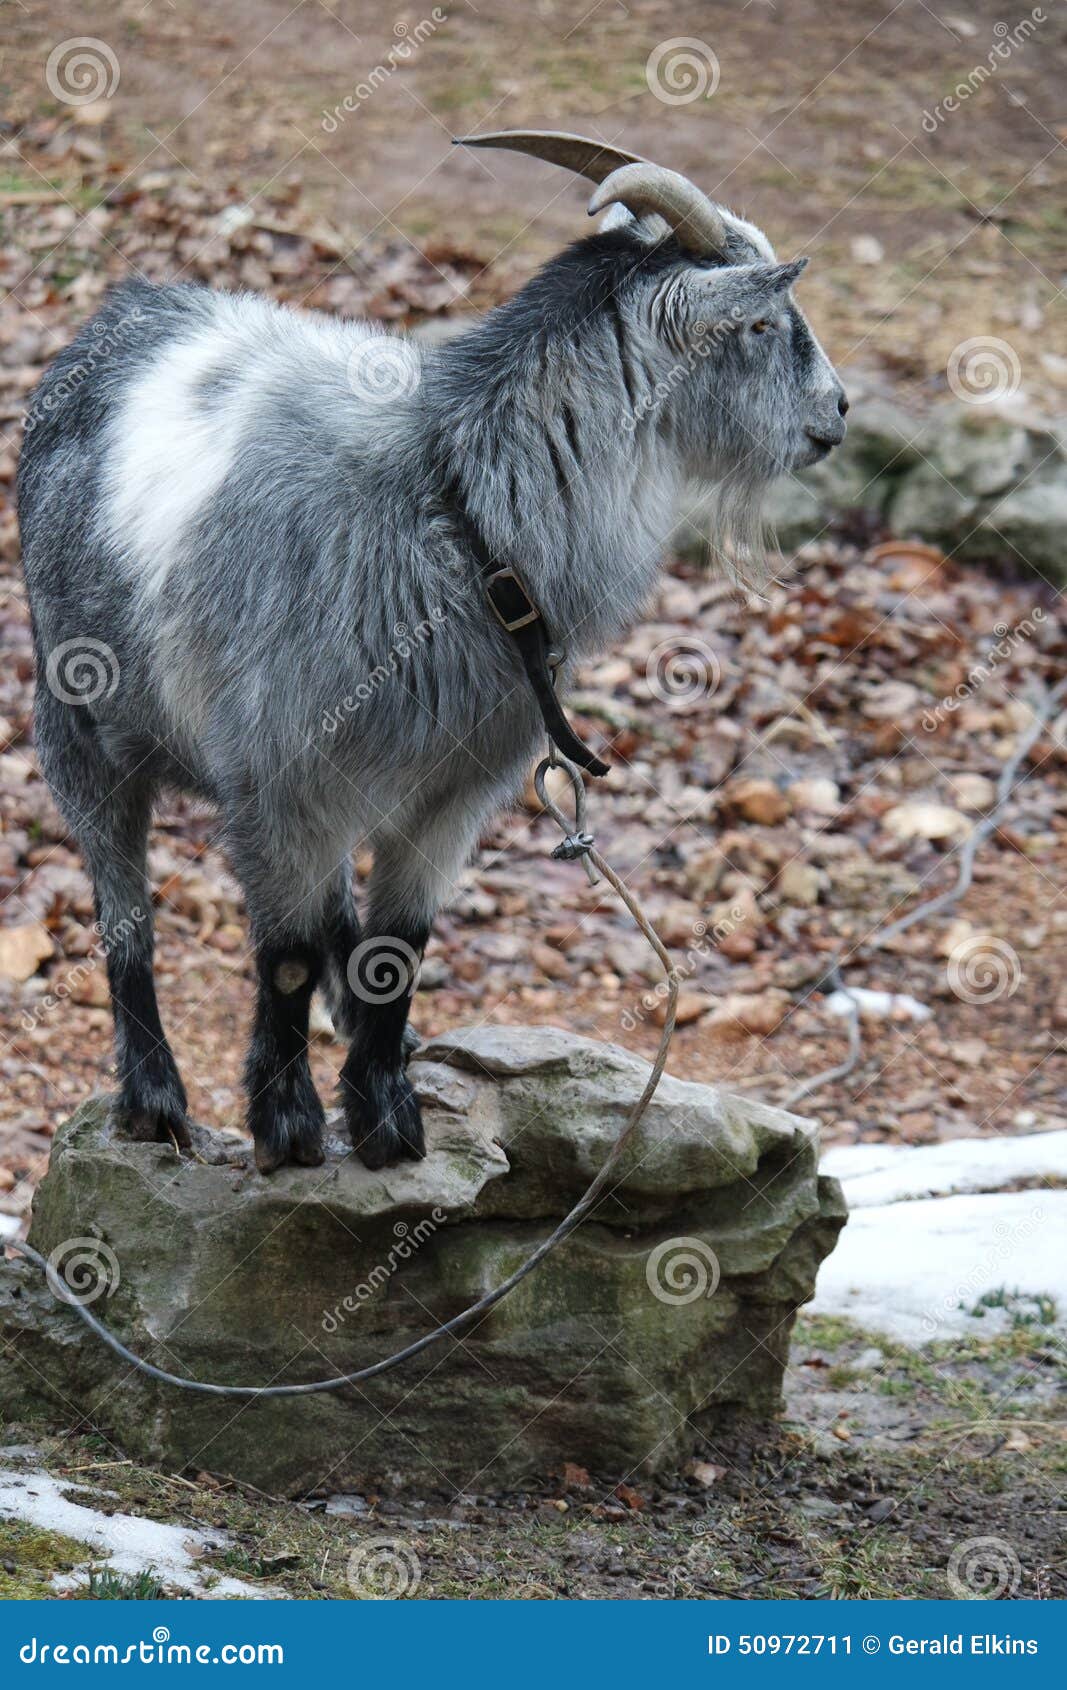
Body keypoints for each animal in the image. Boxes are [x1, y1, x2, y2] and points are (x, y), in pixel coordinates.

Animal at [17, 131, 848, 1173]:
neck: (452, 508)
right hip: (77, 725)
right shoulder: (279, 778)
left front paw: (386, 1117)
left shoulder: (452, 788)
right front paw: (288, 1127)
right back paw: (153, 1102)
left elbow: (398, 946)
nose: (838, 413)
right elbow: (283, 953)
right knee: (126, 918)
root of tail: (122, 309)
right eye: (763, 322)